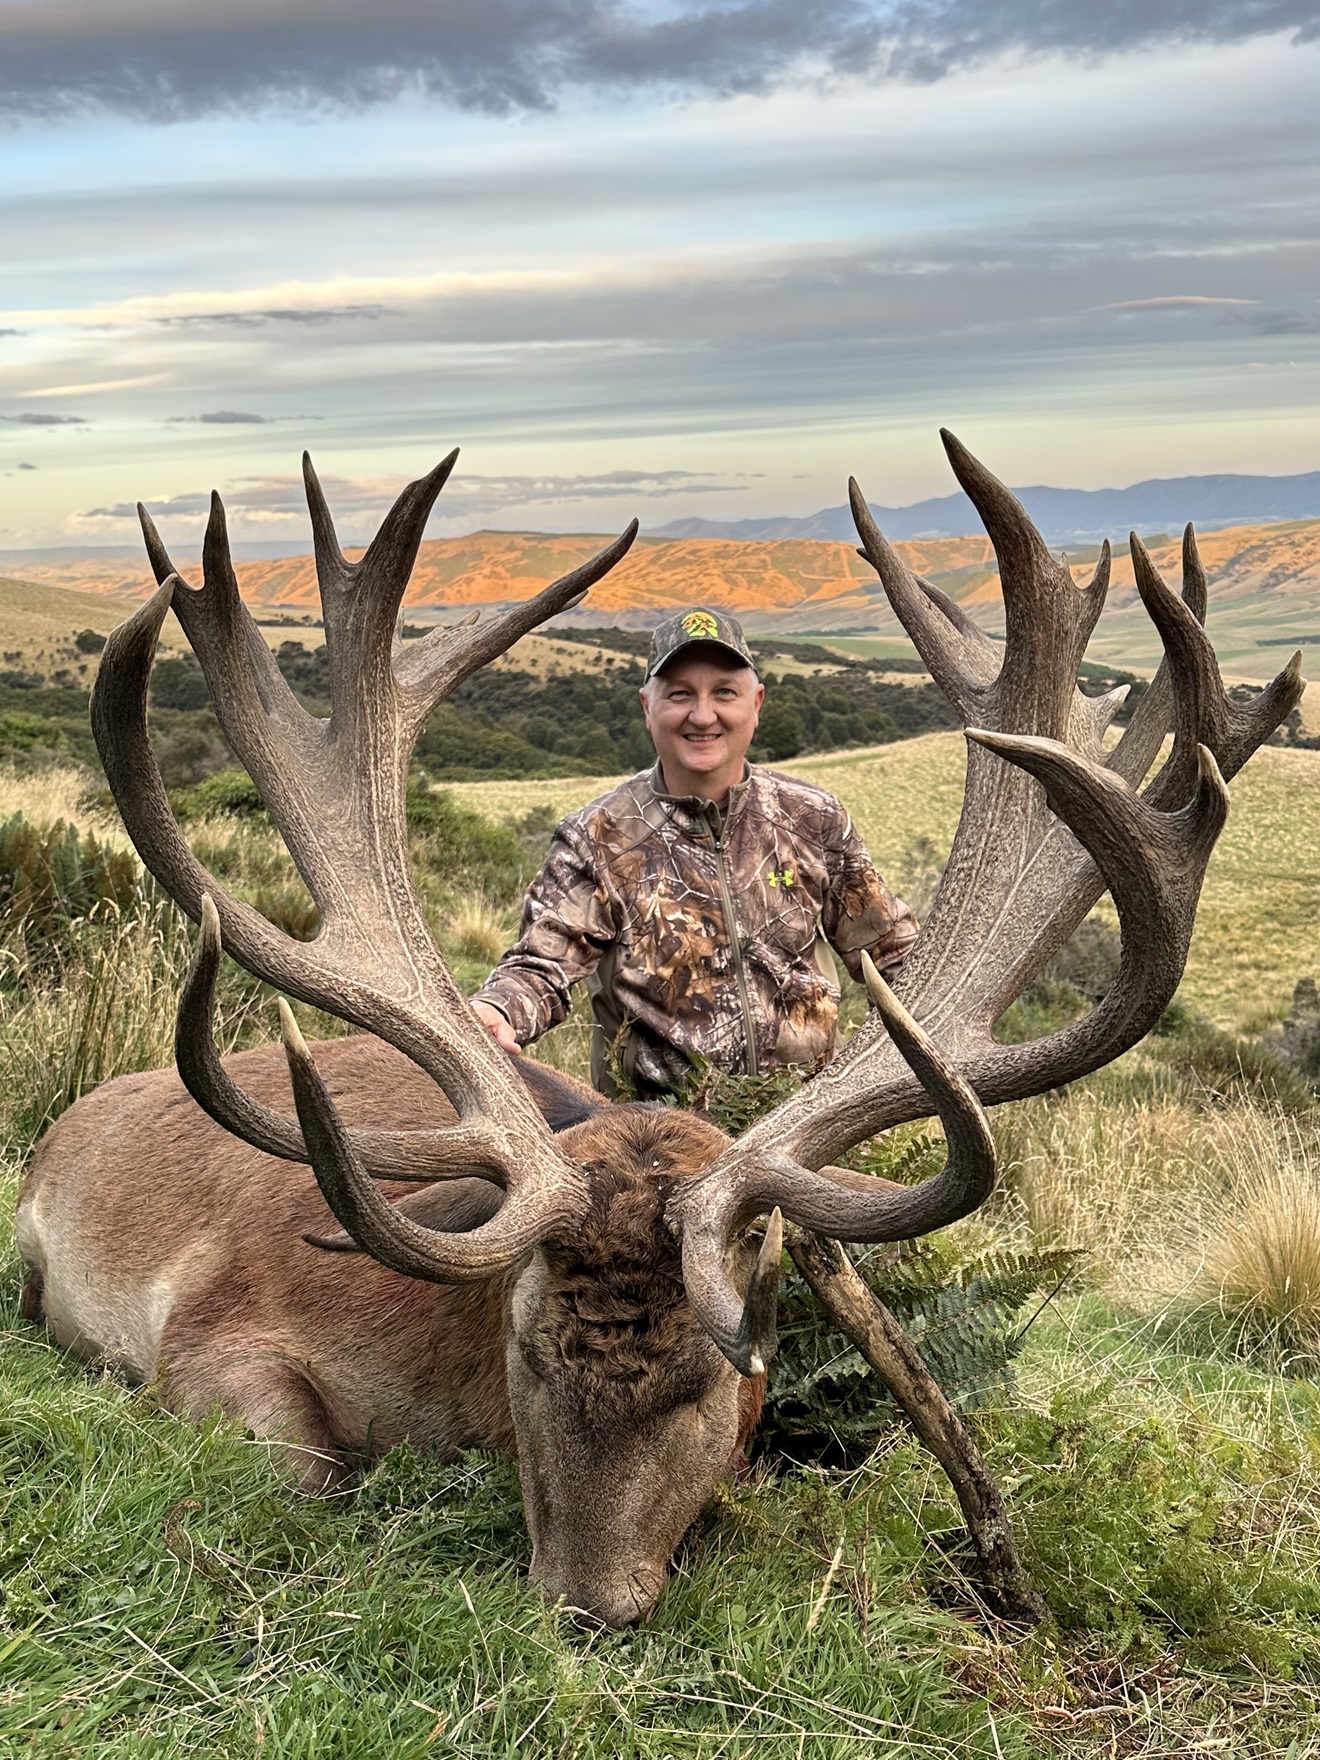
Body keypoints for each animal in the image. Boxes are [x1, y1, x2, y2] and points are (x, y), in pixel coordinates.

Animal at [16, 433, 1302, 1628]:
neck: (444, 1369)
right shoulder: (215, 1328)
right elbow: (309, 1466)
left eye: (717, 1371)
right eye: (526, 1344)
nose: (588, 1600)